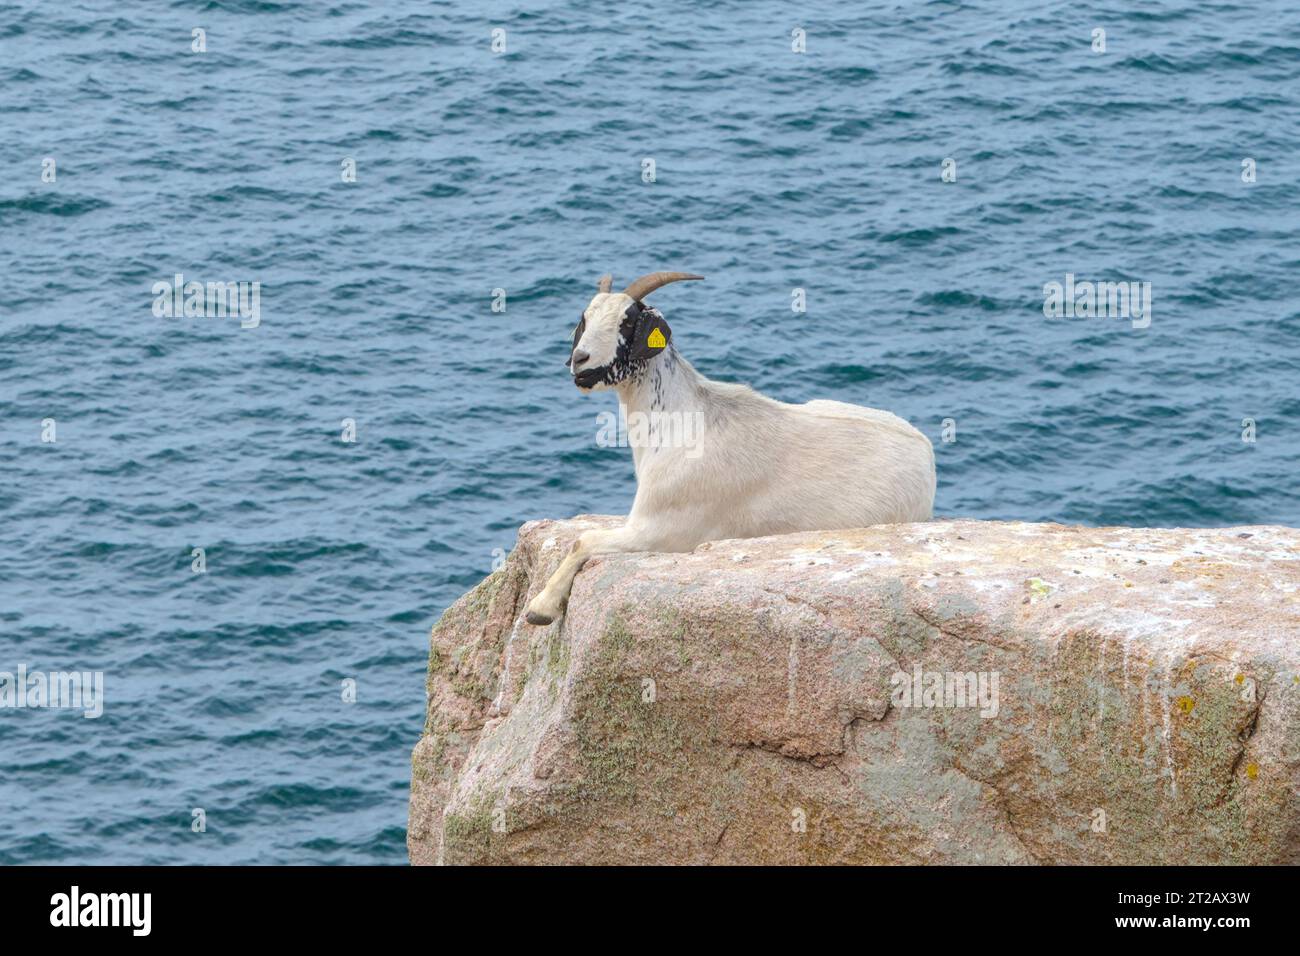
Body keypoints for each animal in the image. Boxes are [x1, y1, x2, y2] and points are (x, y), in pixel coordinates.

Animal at [523, 271, 936, 626]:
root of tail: (928, 452)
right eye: (585, 319)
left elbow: (583, 540)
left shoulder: (663, 531)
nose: (580, 361)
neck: (682, 418)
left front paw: (540, 607)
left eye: (626, 323)